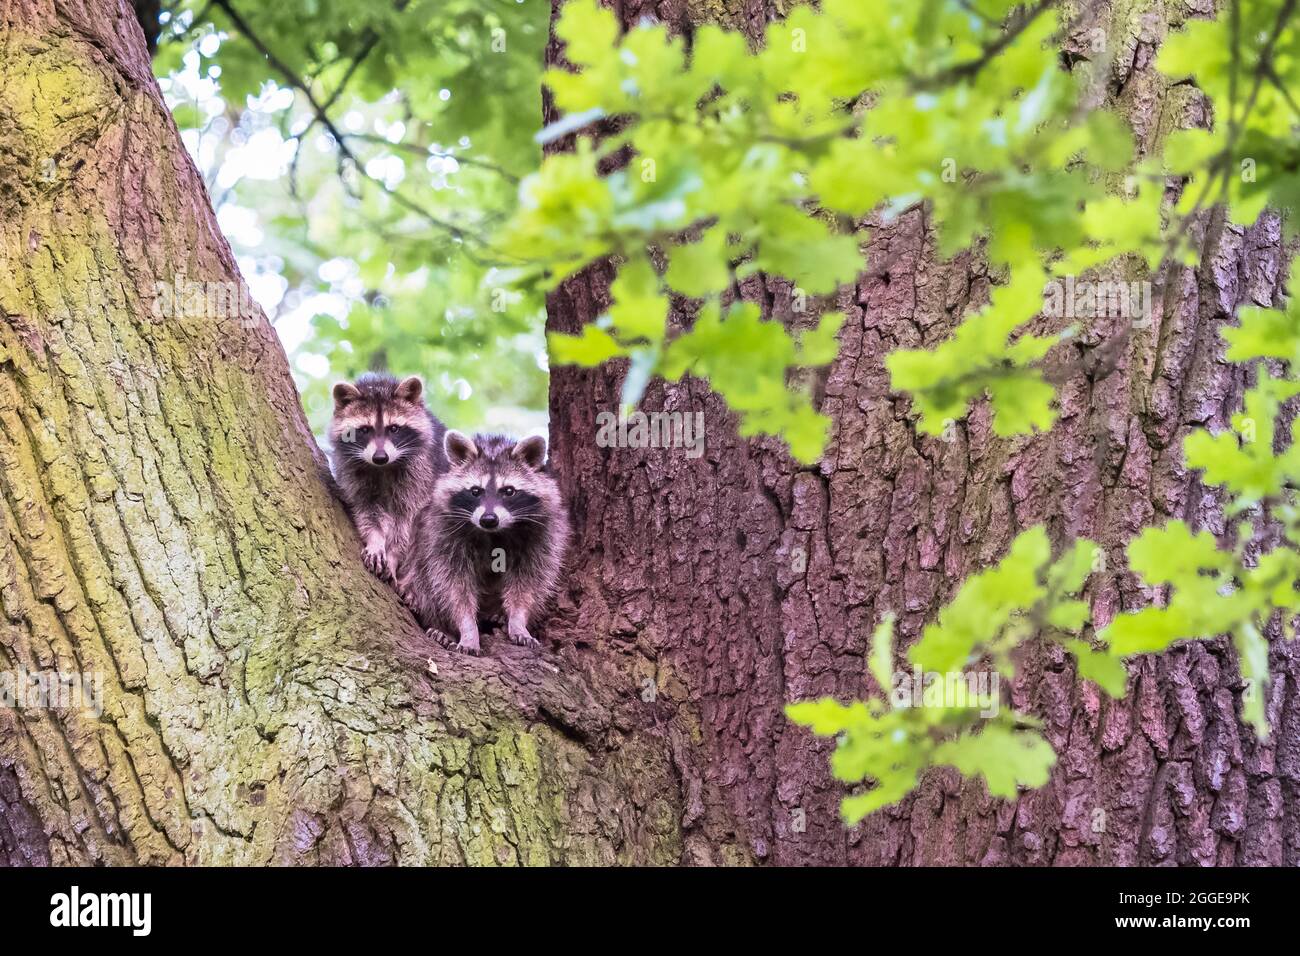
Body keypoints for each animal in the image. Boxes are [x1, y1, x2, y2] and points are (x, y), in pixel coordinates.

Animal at [328, 373, 447, 583]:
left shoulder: (422, 473)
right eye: (365, 430)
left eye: (394, 428)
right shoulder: (352, 474)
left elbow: (407, 519)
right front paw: (375, 540)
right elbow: (367, 510)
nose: (380, 457)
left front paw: (394, 554)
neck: (383, 468)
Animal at [399, 430, 570, 656]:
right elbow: (452, 585)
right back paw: (442, 629)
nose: (488, 519)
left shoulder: (543, 533)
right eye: (475, 491)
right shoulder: (442, 532)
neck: (494, 532)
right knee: (423, 580)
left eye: (508, 491)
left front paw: (518, 620)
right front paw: (467, 628)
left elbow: (530, 582)